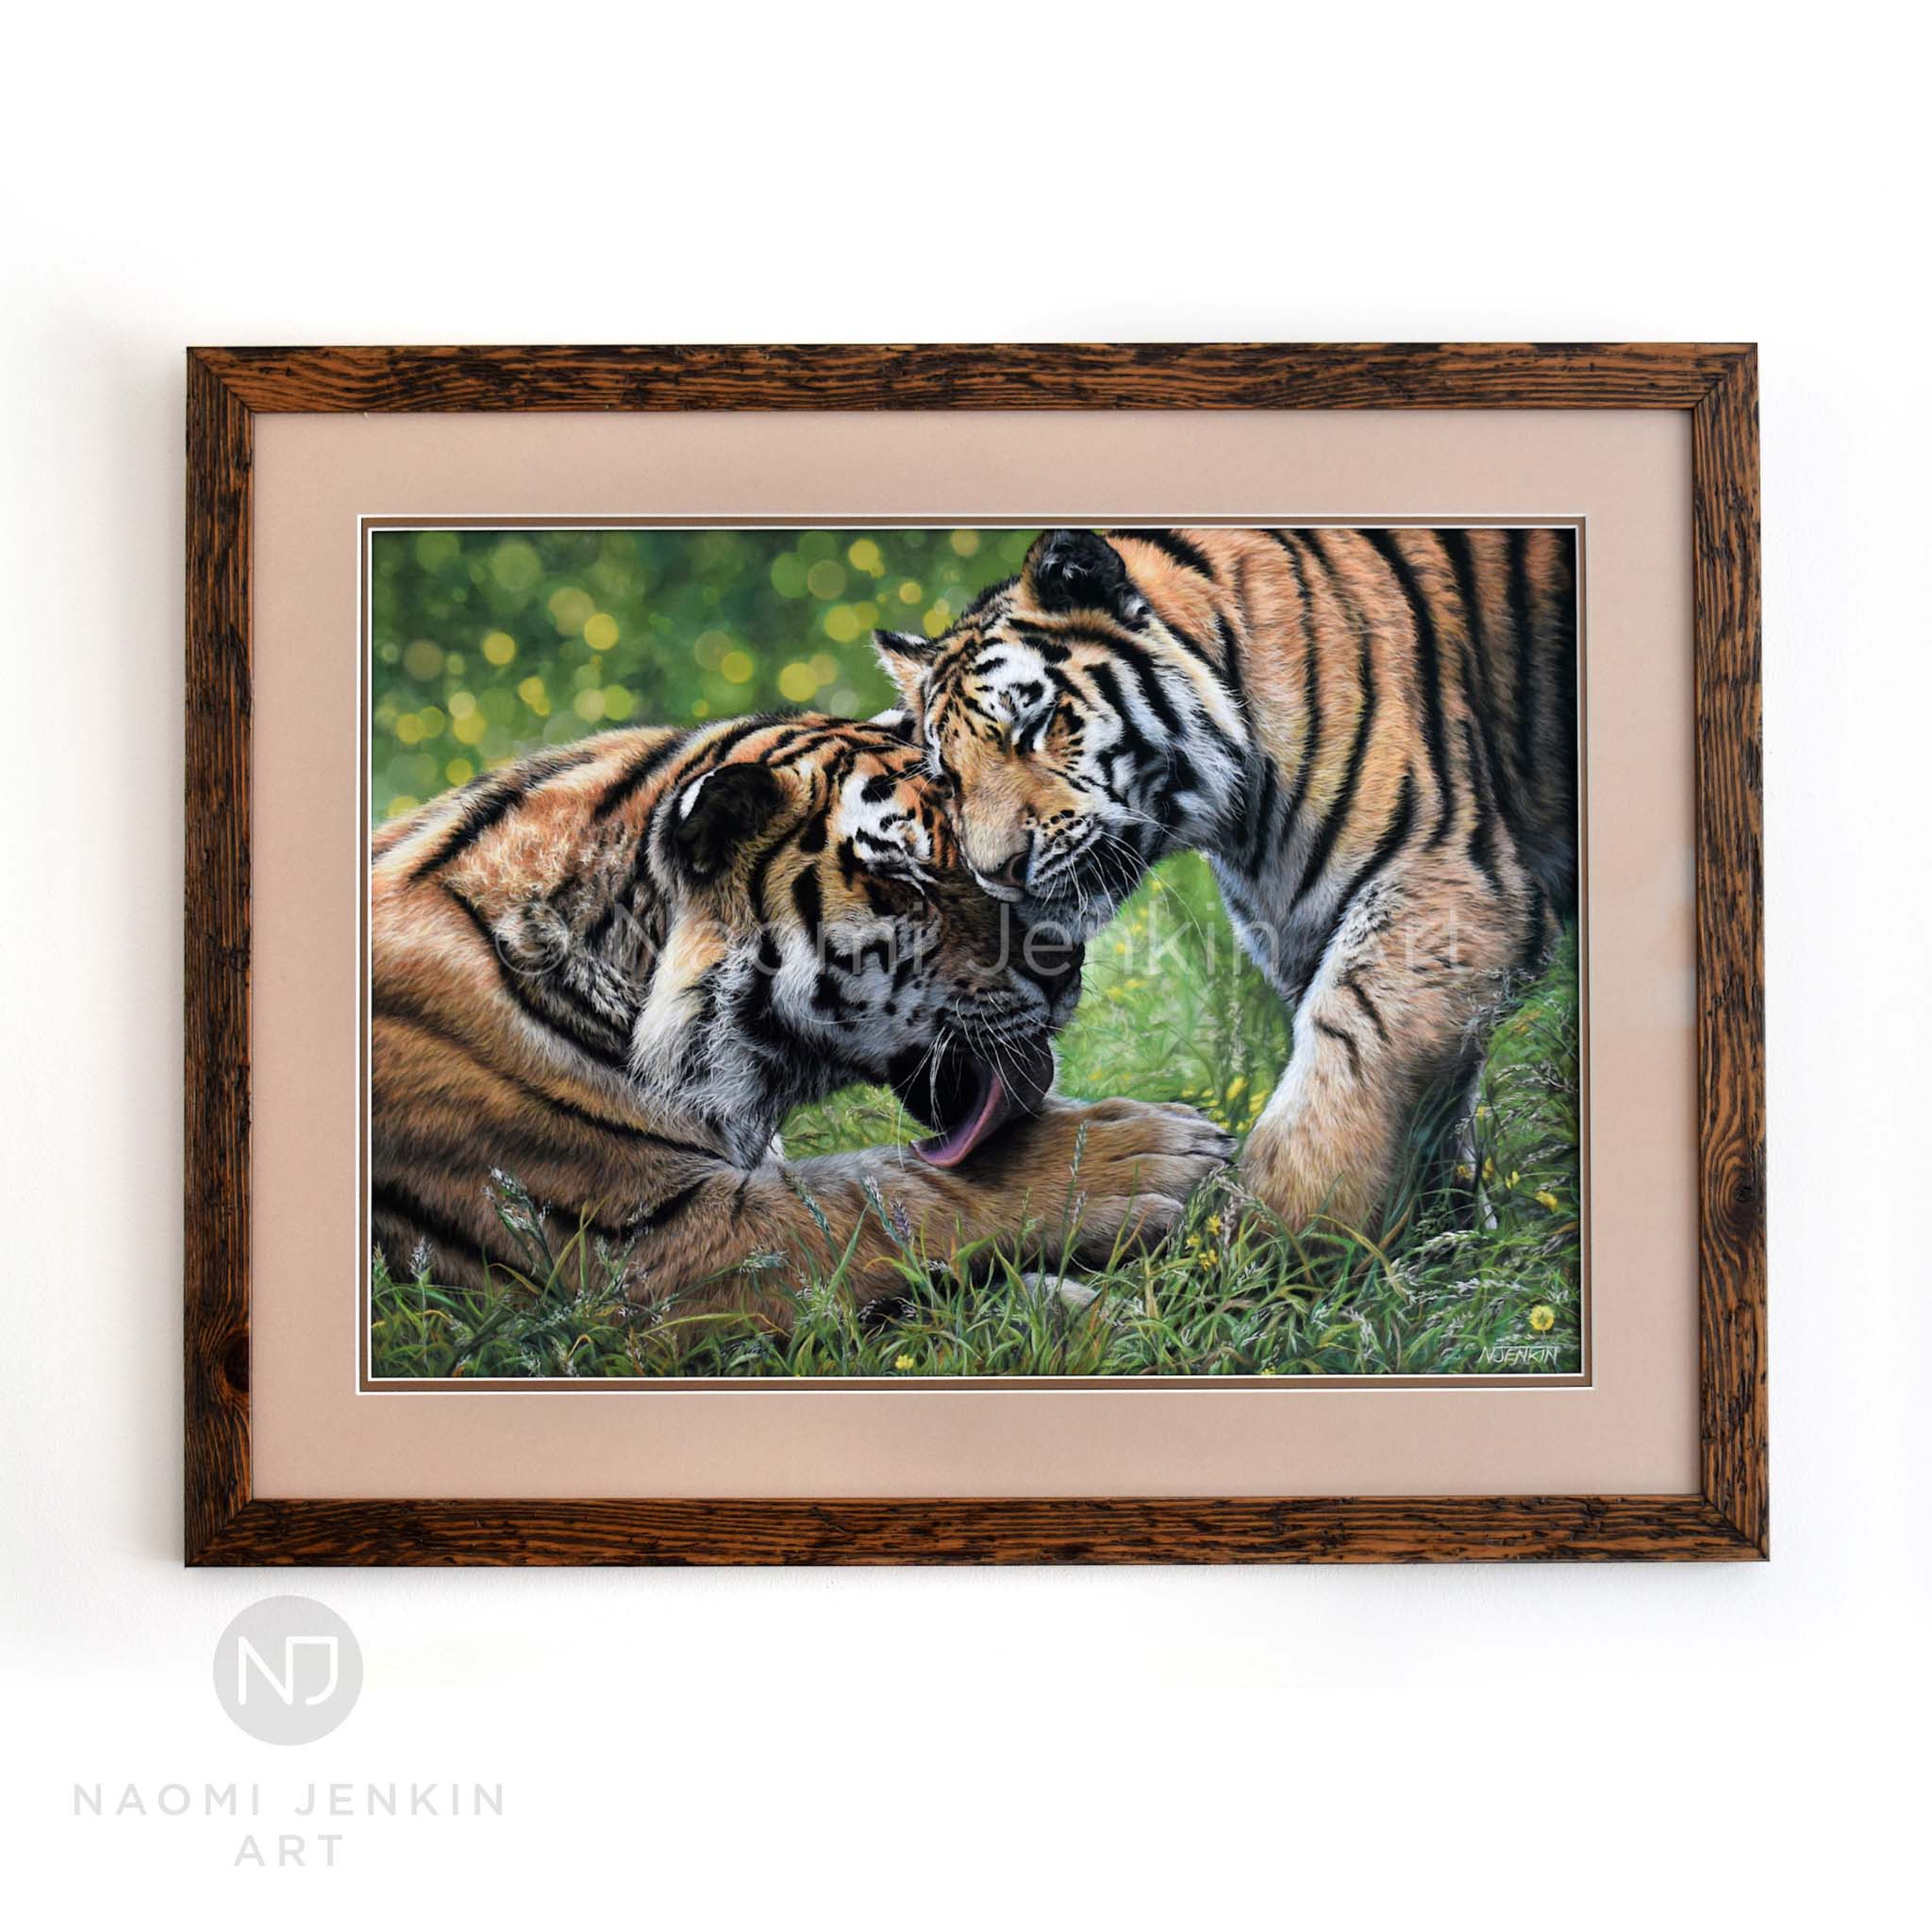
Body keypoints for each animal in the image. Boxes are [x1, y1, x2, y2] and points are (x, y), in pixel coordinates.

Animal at [370, 710, 1233, 1327]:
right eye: (909, 881)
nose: (1066, 961)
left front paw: (1107, 1319)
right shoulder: (630, 1251)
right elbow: (878, 1192)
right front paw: (1144, 1153)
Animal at [873, 526, 1577, 1236]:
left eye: (1033, 727)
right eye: (948, 779)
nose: (999, 873)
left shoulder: (1446, 879)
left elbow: (1351, 1046)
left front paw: (1277, 1237)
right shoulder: (1307, 928)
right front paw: (1437, 1233)